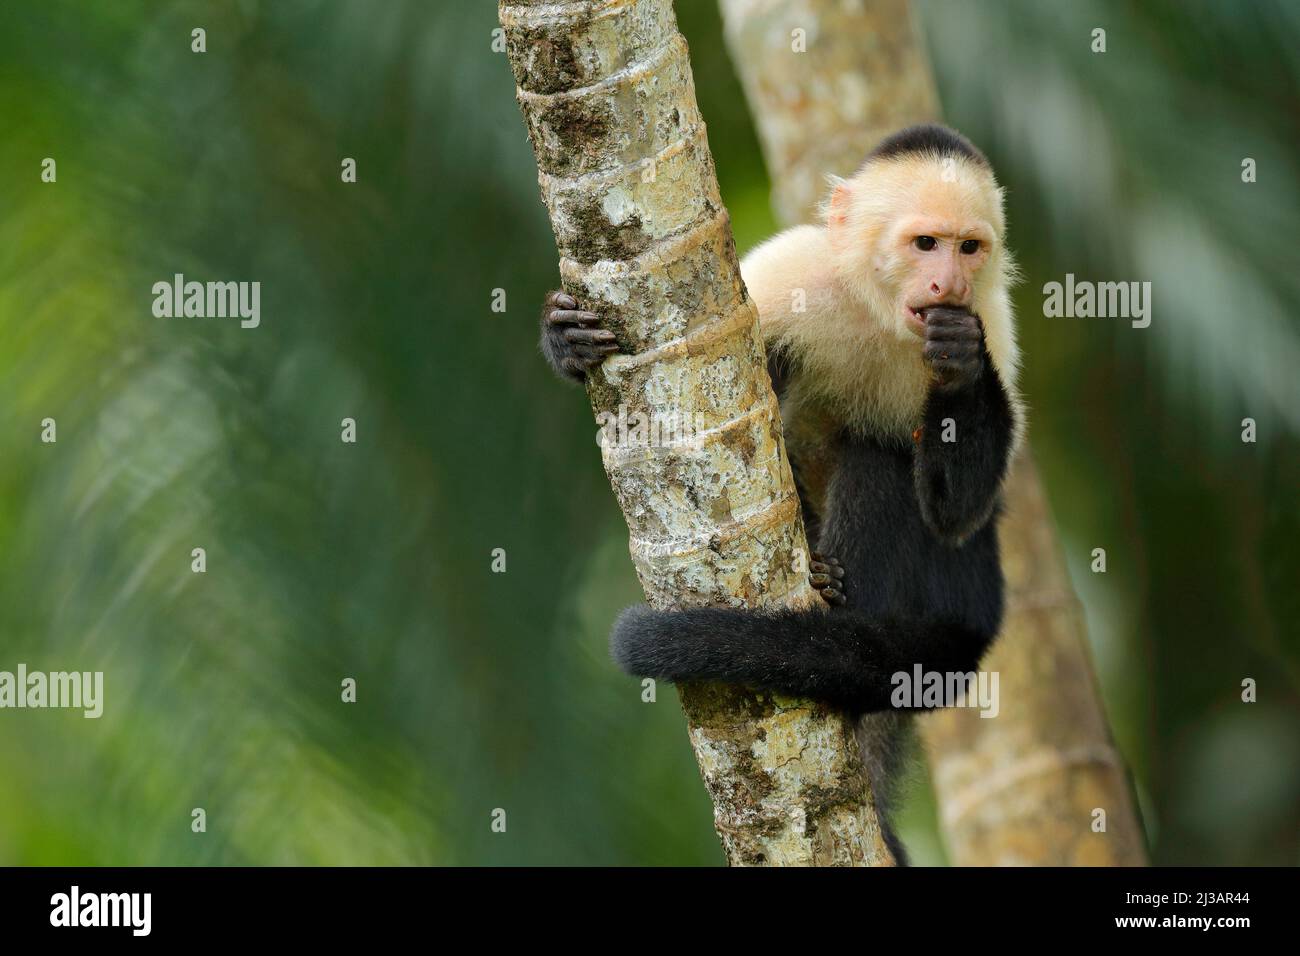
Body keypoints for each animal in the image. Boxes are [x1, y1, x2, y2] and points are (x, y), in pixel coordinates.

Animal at [538, 124, 1023, 864]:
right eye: (926, 244)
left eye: (970, 247)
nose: (951, 280)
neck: (883, 316)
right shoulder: (796, 271)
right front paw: (564, 340)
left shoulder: (994, 317)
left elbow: (957, 514)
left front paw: (960, 361)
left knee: (884, 464)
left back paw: (837, 601)